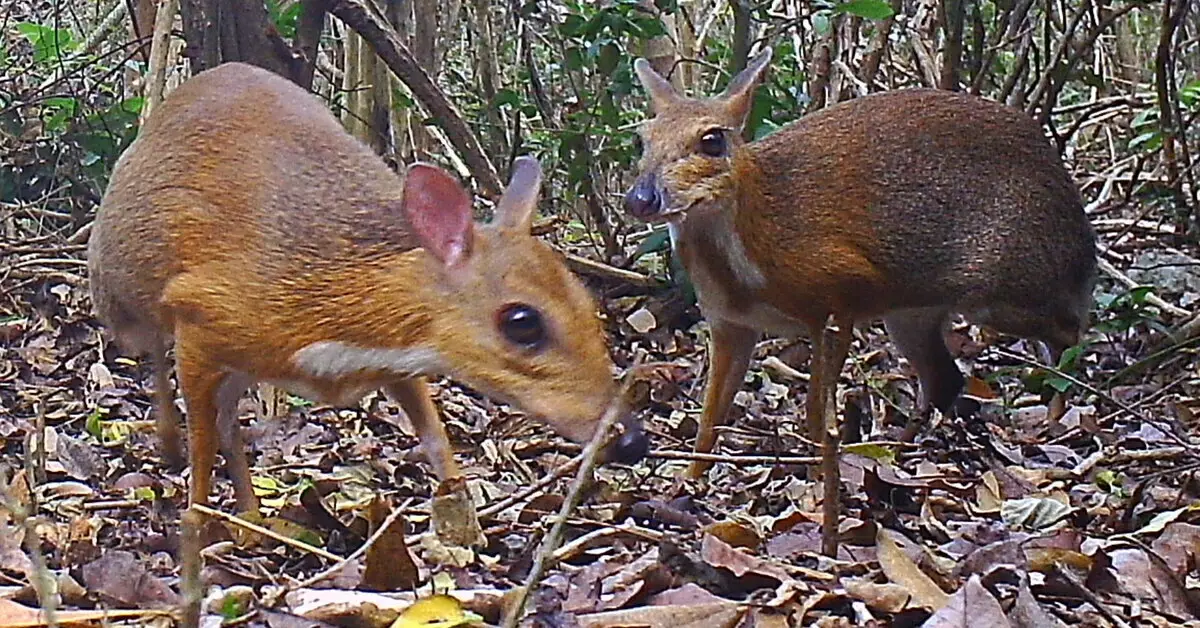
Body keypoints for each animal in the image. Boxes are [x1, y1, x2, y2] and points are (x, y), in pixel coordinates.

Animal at [91, 62, 648, 535]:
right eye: (522, 322)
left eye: (585, 302)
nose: (632, 438)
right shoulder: (198, 316)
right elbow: (202, 445)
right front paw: (199, 525)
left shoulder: (401, 361)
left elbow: (436, 439)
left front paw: (466, 524)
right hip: (120, 297)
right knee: (157, 360)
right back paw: (172, 450)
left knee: (229, 418)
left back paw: (252, 518)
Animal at [628, 50, 1099, 482]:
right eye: (642, 139)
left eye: (712, 140)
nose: (641, 198)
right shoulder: (729, 325)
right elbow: (710, 419)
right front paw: (690, 480)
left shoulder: (843, 291)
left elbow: (816, 409)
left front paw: (817, 472)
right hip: (912, 313)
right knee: (945, 379)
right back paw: (899, 450)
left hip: (1007, 288)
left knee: (1070, 332)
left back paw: (1056, 419)